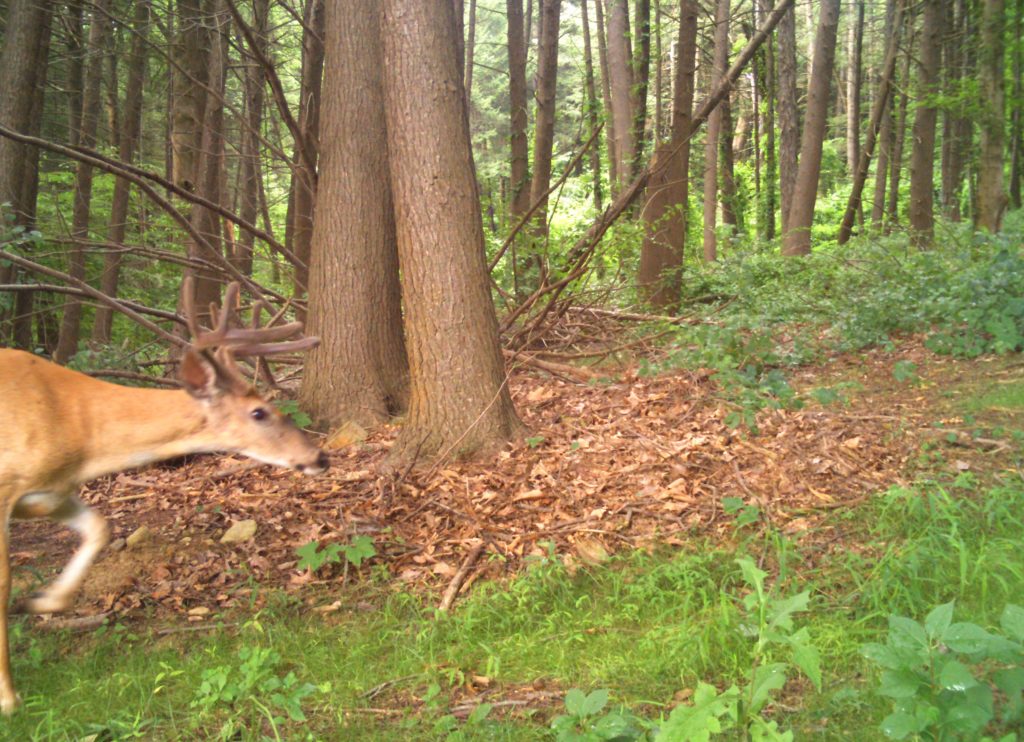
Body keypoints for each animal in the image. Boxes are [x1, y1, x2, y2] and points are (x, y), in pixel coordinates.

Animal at [0, 280, 328, 713]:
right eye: (259, 412)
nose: (319, 456)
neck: (77, 432)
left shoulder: (50, 493)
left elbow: (100, 529)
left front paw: (38, 601)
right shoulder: (5, 486)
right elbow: (3, 582)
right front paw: (8, 697)